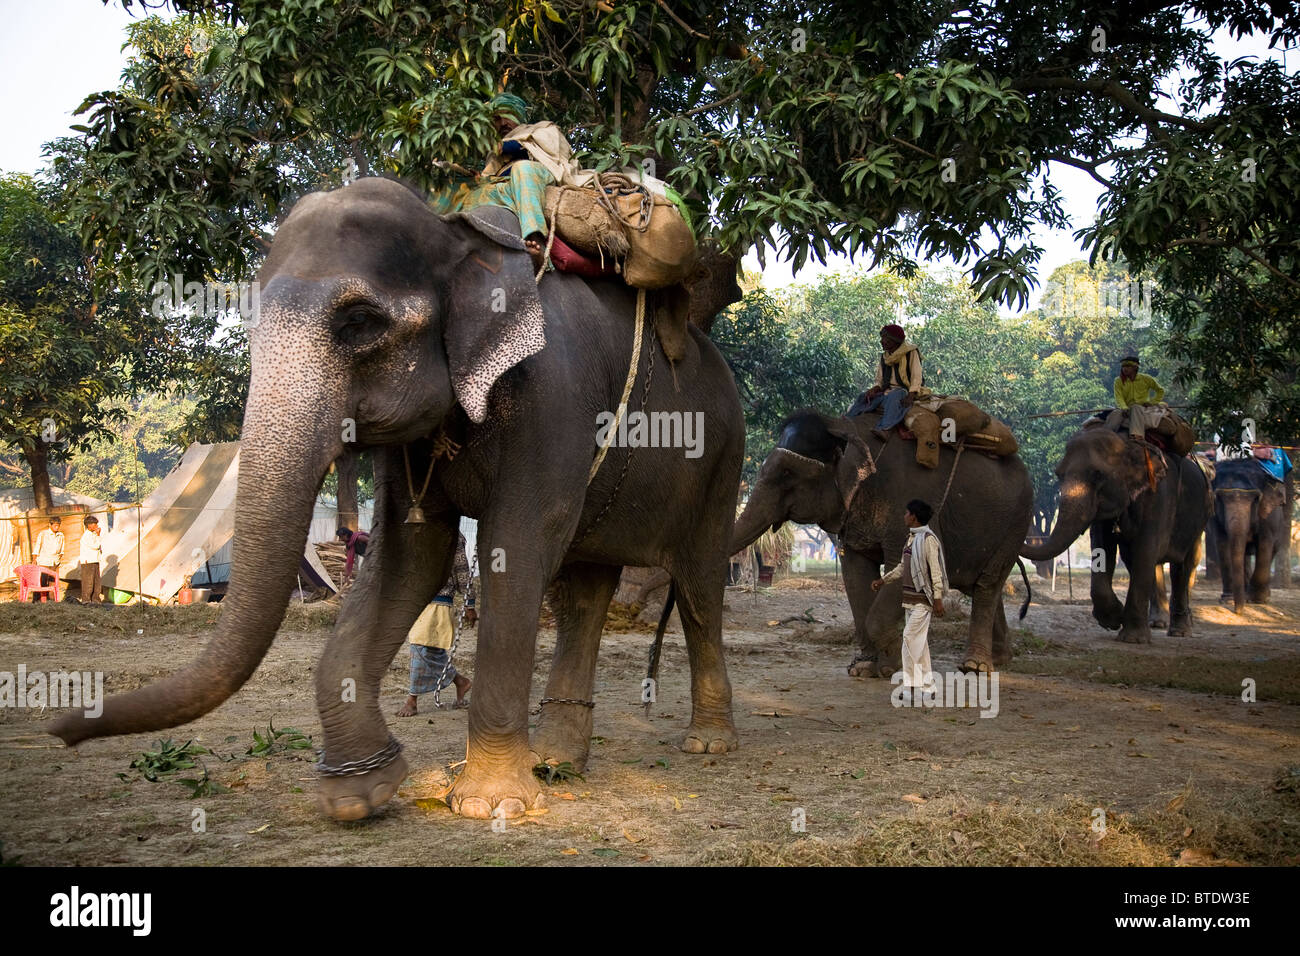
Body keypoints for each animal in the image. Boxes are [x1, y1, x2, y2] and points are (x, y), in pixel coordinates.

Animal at [51, 178, 746, 821]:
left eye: (358, 322)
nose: (60, 731)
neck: (455, 233)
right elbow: (412, 553)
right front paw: (362, 793)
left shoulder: (553, 393)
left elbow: (515, 545)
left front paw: (491, 804)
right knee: (585, 589)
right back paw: (557, 761)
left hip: (724, 456)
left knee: (698, 583)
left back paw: (707, 744)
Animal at [731, 408, 1033, 675]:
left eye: (786, 475)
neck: (841, 425)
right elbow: (855, 574)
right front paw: (864, 669)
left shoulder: (908, 501)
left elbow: (900, 568)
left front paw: (889, 667)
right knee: (977, 584)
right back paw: (1000, 658)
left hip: (1017, 522)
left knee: (987, 585)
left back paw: (976, 666)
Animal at [1020, 425, 1212, 643]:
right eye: (1058, 474)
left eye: (1097, 475)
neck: (1126, 443)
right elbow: (1103, 549)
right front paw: (1113, 619)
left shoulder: (1158, 497)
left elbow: (1145, 550)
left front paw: (1133, 639)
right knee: (1142, 562)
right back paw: (1156, 623)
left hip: (1200, 517)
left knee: (1183, 564)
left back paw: (1180, 631)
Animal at [1210, 457, 1287, 612]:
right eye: (1219, 498)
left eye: (1256, 498)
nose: (1238, 612)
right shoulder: (1216, 519)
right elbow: (1222, 544)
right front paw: (1228, 600)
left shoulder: (1267, 517)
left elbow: (1264, 544)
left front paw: (1258, 600)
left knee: (1271, 551)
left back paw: (1261, 595)